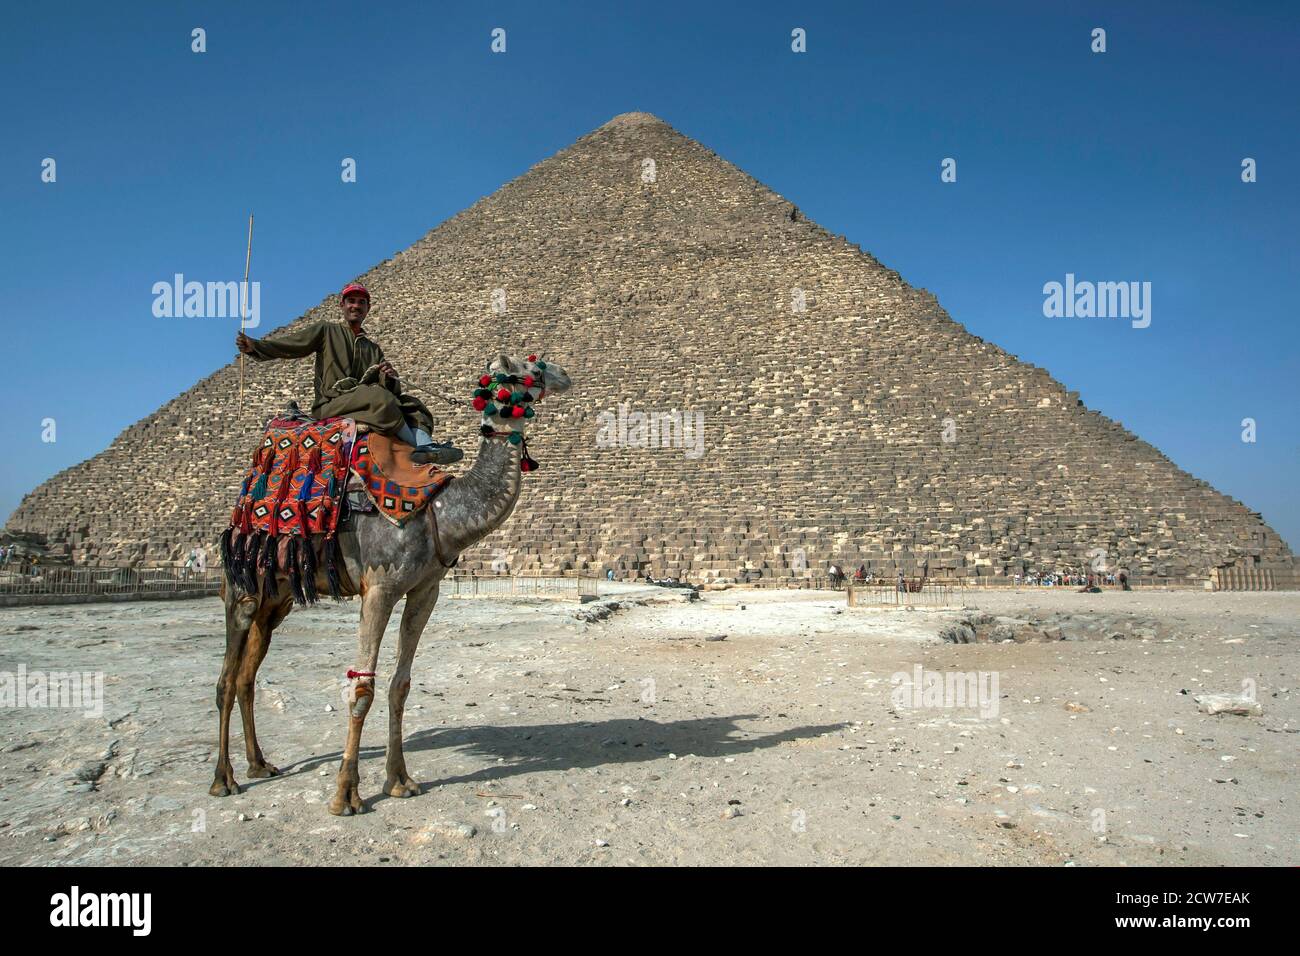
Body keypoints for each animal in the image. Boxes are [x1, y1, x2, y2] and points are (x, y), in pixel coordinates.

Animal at [209, 353, 571, 815]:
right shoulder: (378, 589)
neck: (440, 511)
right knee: (225, 679)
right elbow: (362, 686)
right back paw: (224, 779)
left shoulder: (425, 590)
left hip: (278, 600)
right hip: (241, 587)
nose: (565, 374)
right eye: (529, 369)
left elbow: (401, 685)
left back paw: (259, 764)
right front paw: (346, 794)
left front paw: (399, 780)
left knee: (246, 678)